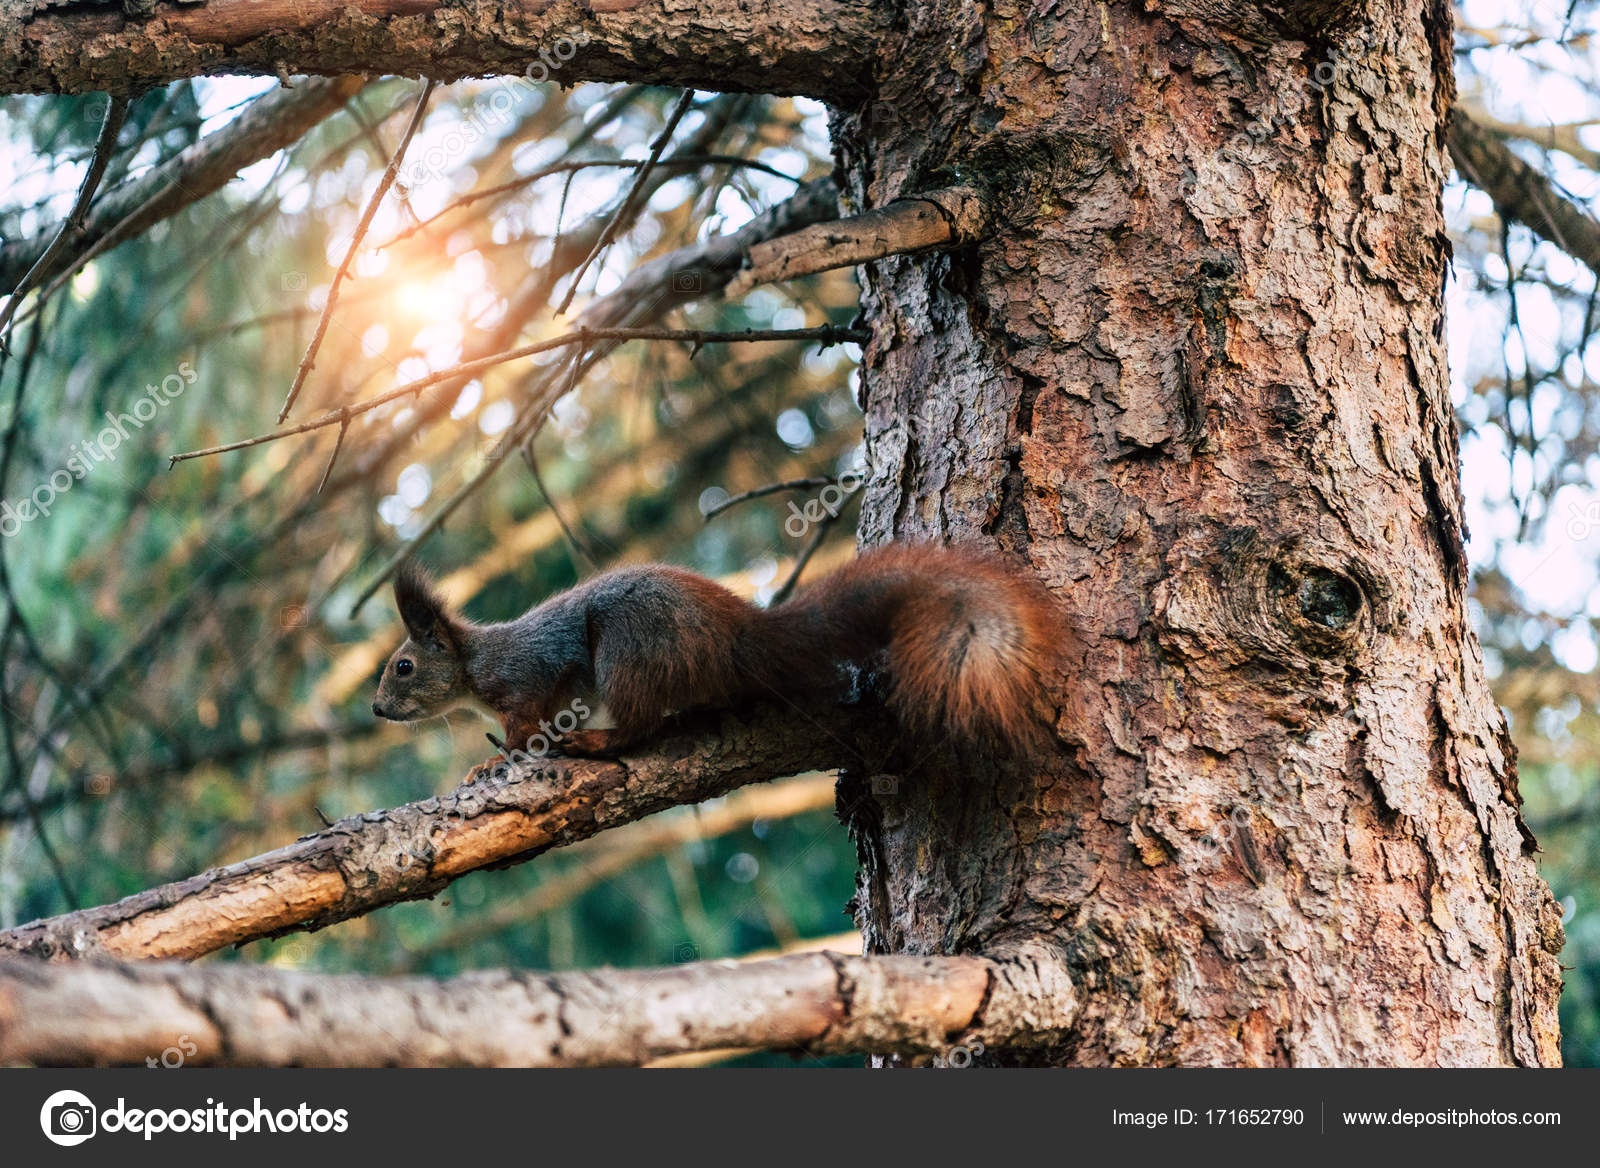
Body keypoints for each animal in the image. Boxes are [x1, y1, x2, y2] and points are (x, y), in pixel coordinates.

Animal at [371, 542, 1059, 767]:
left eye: (403, 667)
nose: (376, 711)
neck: (471, 663)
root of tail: (740, 637)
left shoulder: (525, 678)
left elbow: (523, 725)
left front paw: (491, 762)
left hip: (631, 648)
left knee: (639, 726)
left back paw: (597, 743)